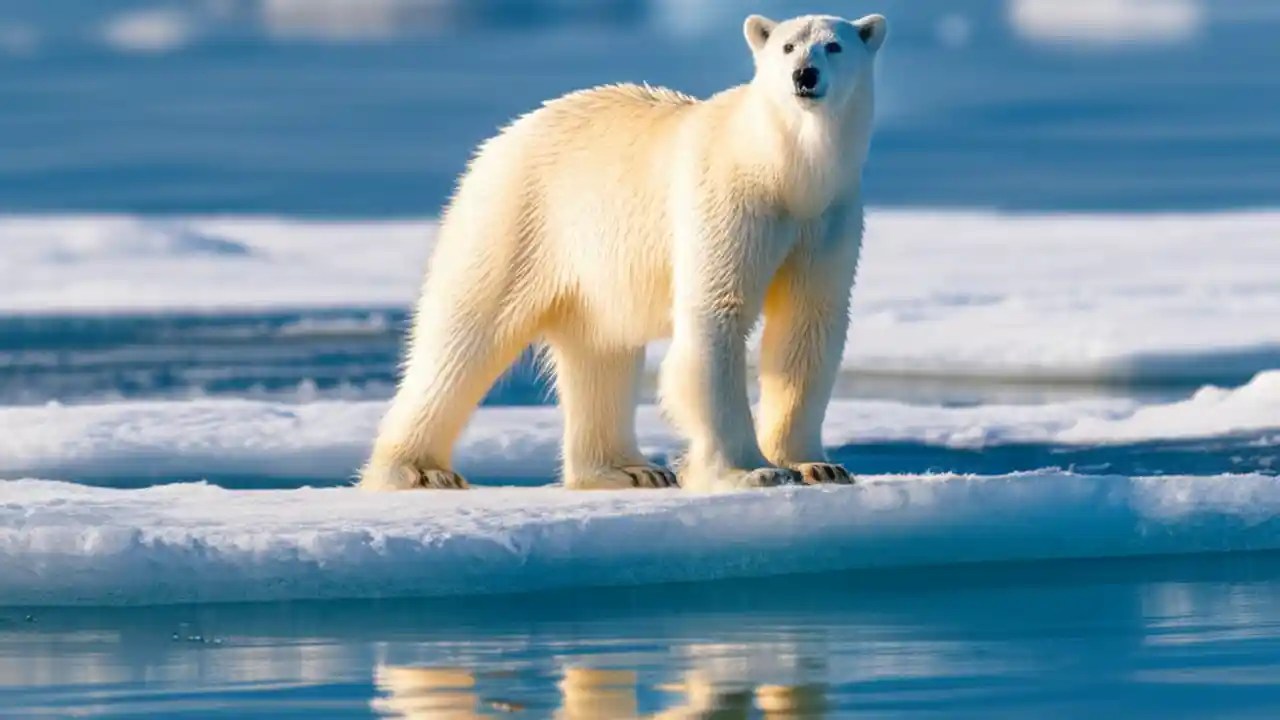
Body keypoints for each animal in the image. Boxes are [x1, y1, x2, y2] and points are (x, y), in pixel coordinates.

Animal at [361, 12, 887, 493]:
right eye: (787, 46)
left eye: (834, 45)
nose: (805, 76)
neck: (784, 172)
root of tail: (499, 141)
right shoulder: (728, 200)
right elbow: (717, 316)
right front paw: (751, 470)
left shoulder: (829, 217)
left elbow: (807, 324)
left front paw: (816, 465)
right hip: (517, 218)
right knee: (463, 336)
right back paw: (418, 470)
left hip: (590, 273)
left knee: (600, 352)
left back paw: (629, 470)